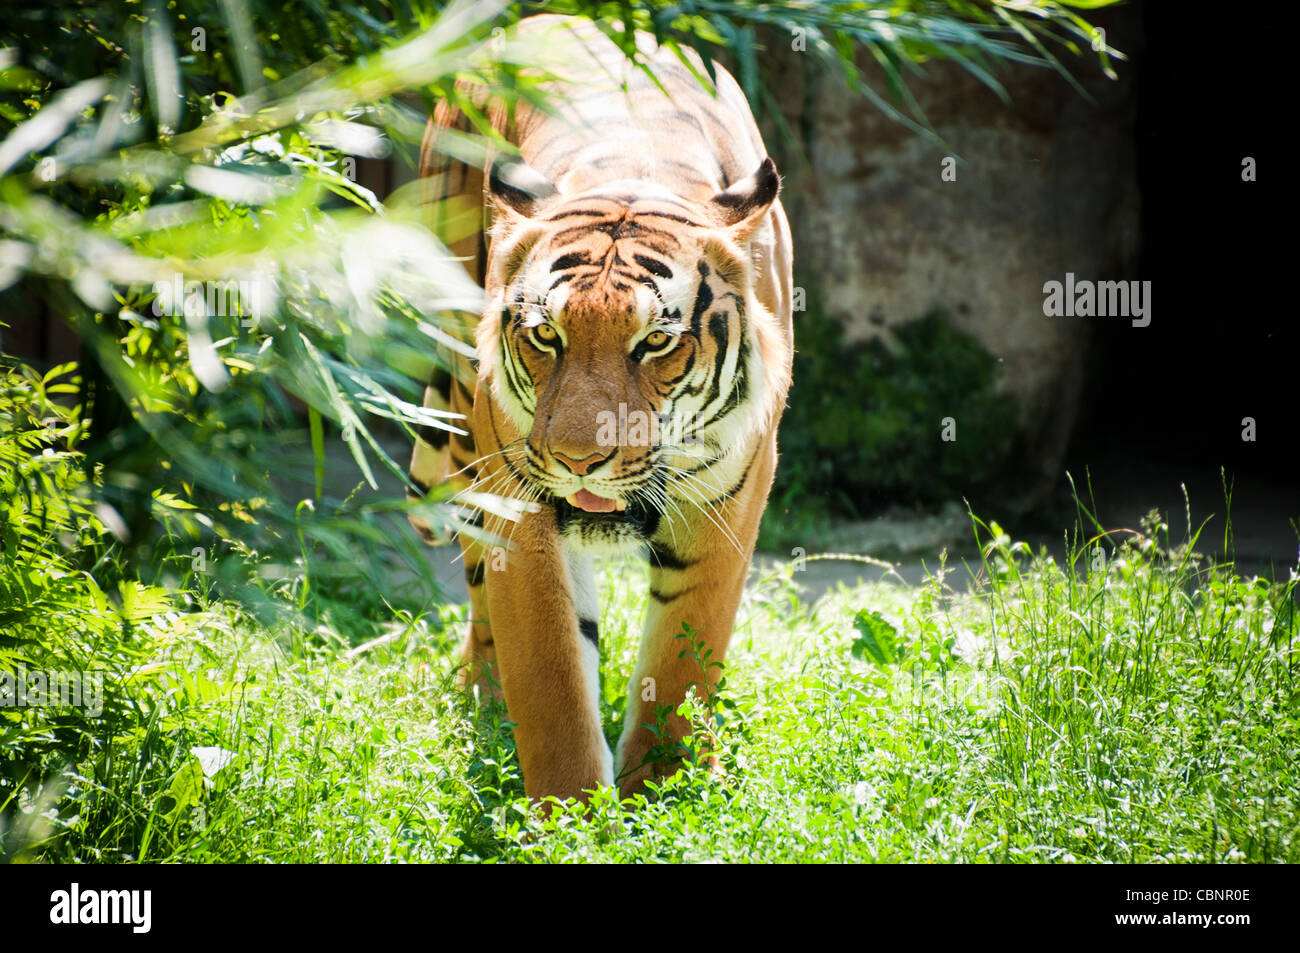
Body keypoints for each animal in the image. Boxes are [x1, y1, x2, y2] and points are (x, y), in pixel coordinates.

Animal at [407, 13, 793, 803]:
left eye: (656, 342)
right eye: (545, 336)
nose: (578, 460)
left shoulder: (733, 493)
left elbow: (683, 661)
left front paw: (666, 789)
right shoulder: (521, 503)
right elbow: (552, 678)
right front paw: (573, 812)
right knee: (476, 579)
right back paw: (482, 698)